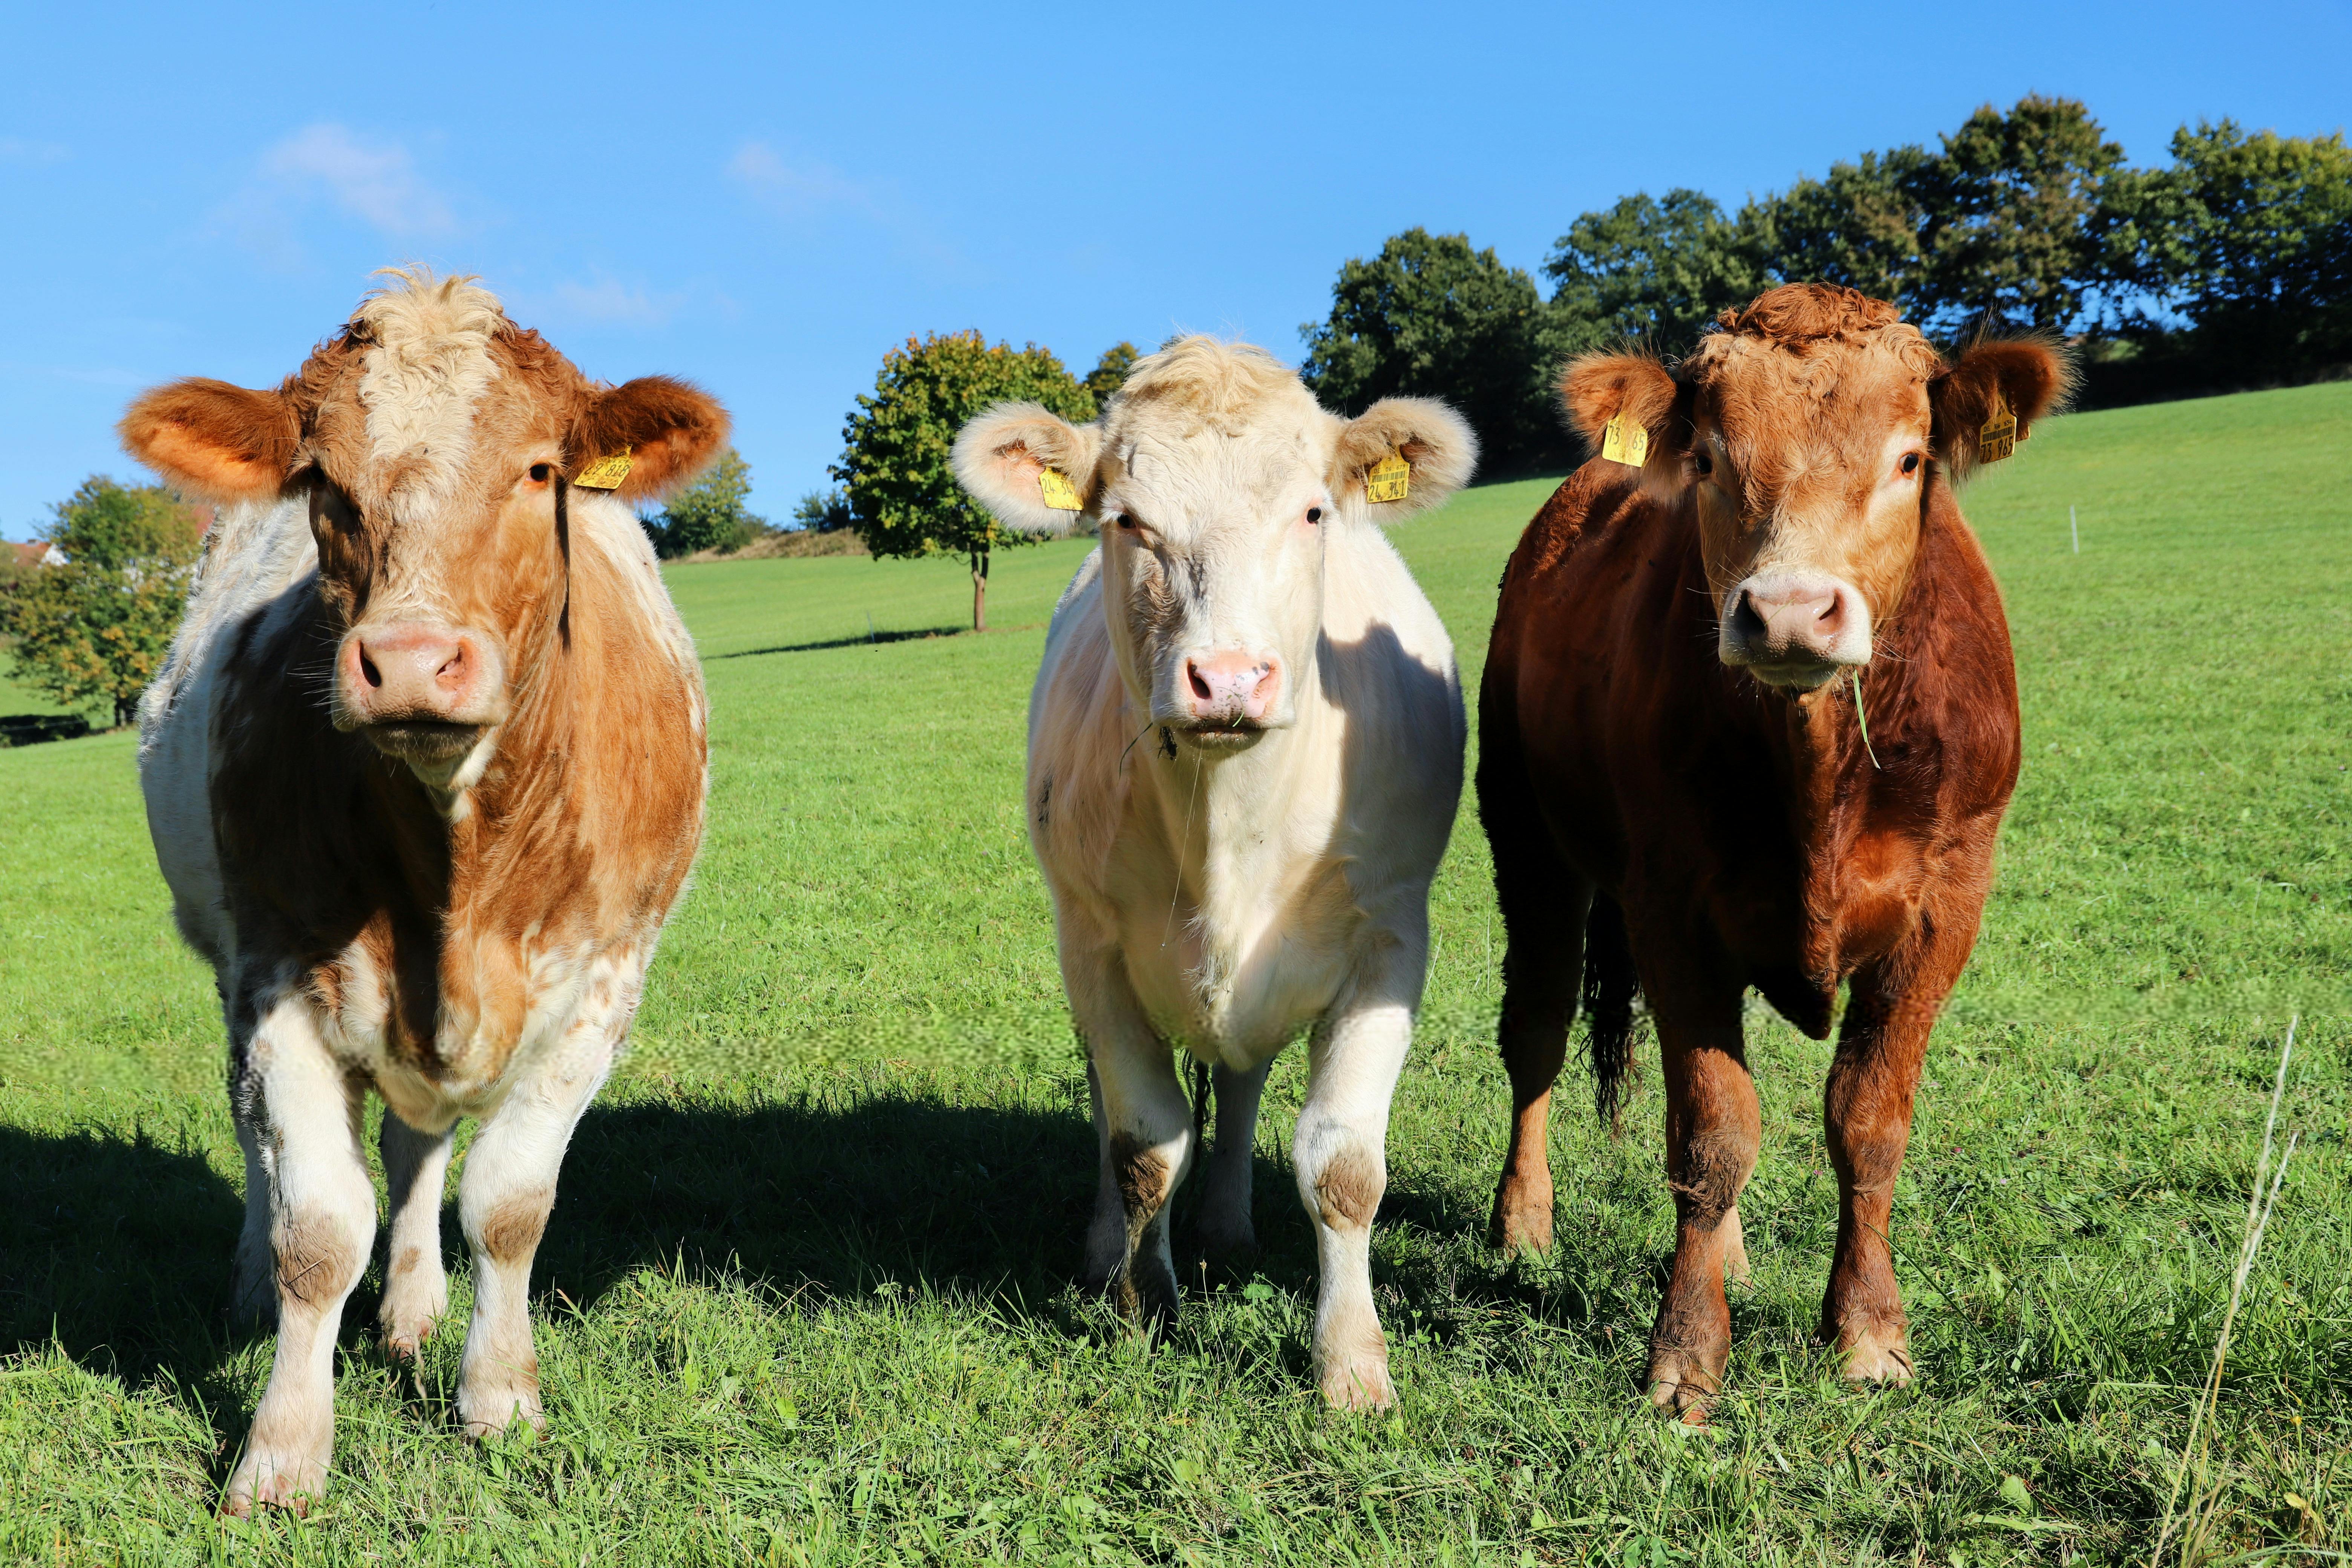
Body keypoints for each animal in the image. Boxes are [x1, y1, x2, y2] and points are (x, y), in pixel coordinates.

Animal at [122, 269, 725, 1512]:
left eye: (539, 469)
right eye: (322, 481)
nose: (406, 661)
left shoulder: (603, 985)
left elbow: (505, 1201)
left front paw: (497, 1396)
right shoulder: (276, 974)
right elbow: (316, 1224)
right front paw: (281, 1452)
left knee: (417, 1149)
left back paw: (412, 1303)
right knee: (263, 1144)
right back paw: (253, 1288)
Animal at [952, 338, 1476, 1409]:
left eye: (1313, 512)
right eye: (1127, 519)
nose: (1228, 679)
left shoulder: (1392, 938)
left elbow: (1342, 1163)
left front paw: (1350, 1363)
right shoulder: (1093, 943)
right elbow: (1143, 1142)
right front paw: (1142, 1300)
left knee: (1240, 1083)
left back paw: (1228, 1223)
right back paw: (1105, 1244)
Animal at [1476, 284, 2065, 1417]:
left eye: (1909, 458)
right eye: (1709, 458)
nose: (1790, 610)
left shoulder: (1946, 906)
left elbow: (1865, 1121)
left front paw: (1868, 1333)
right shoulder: (1668, 904)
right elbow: (1712, 1133)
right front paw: (1685, 1356)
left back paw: (1733, 1258)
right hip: (1527, 841)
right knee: (1536, 1031)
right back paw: (1522, 1223)